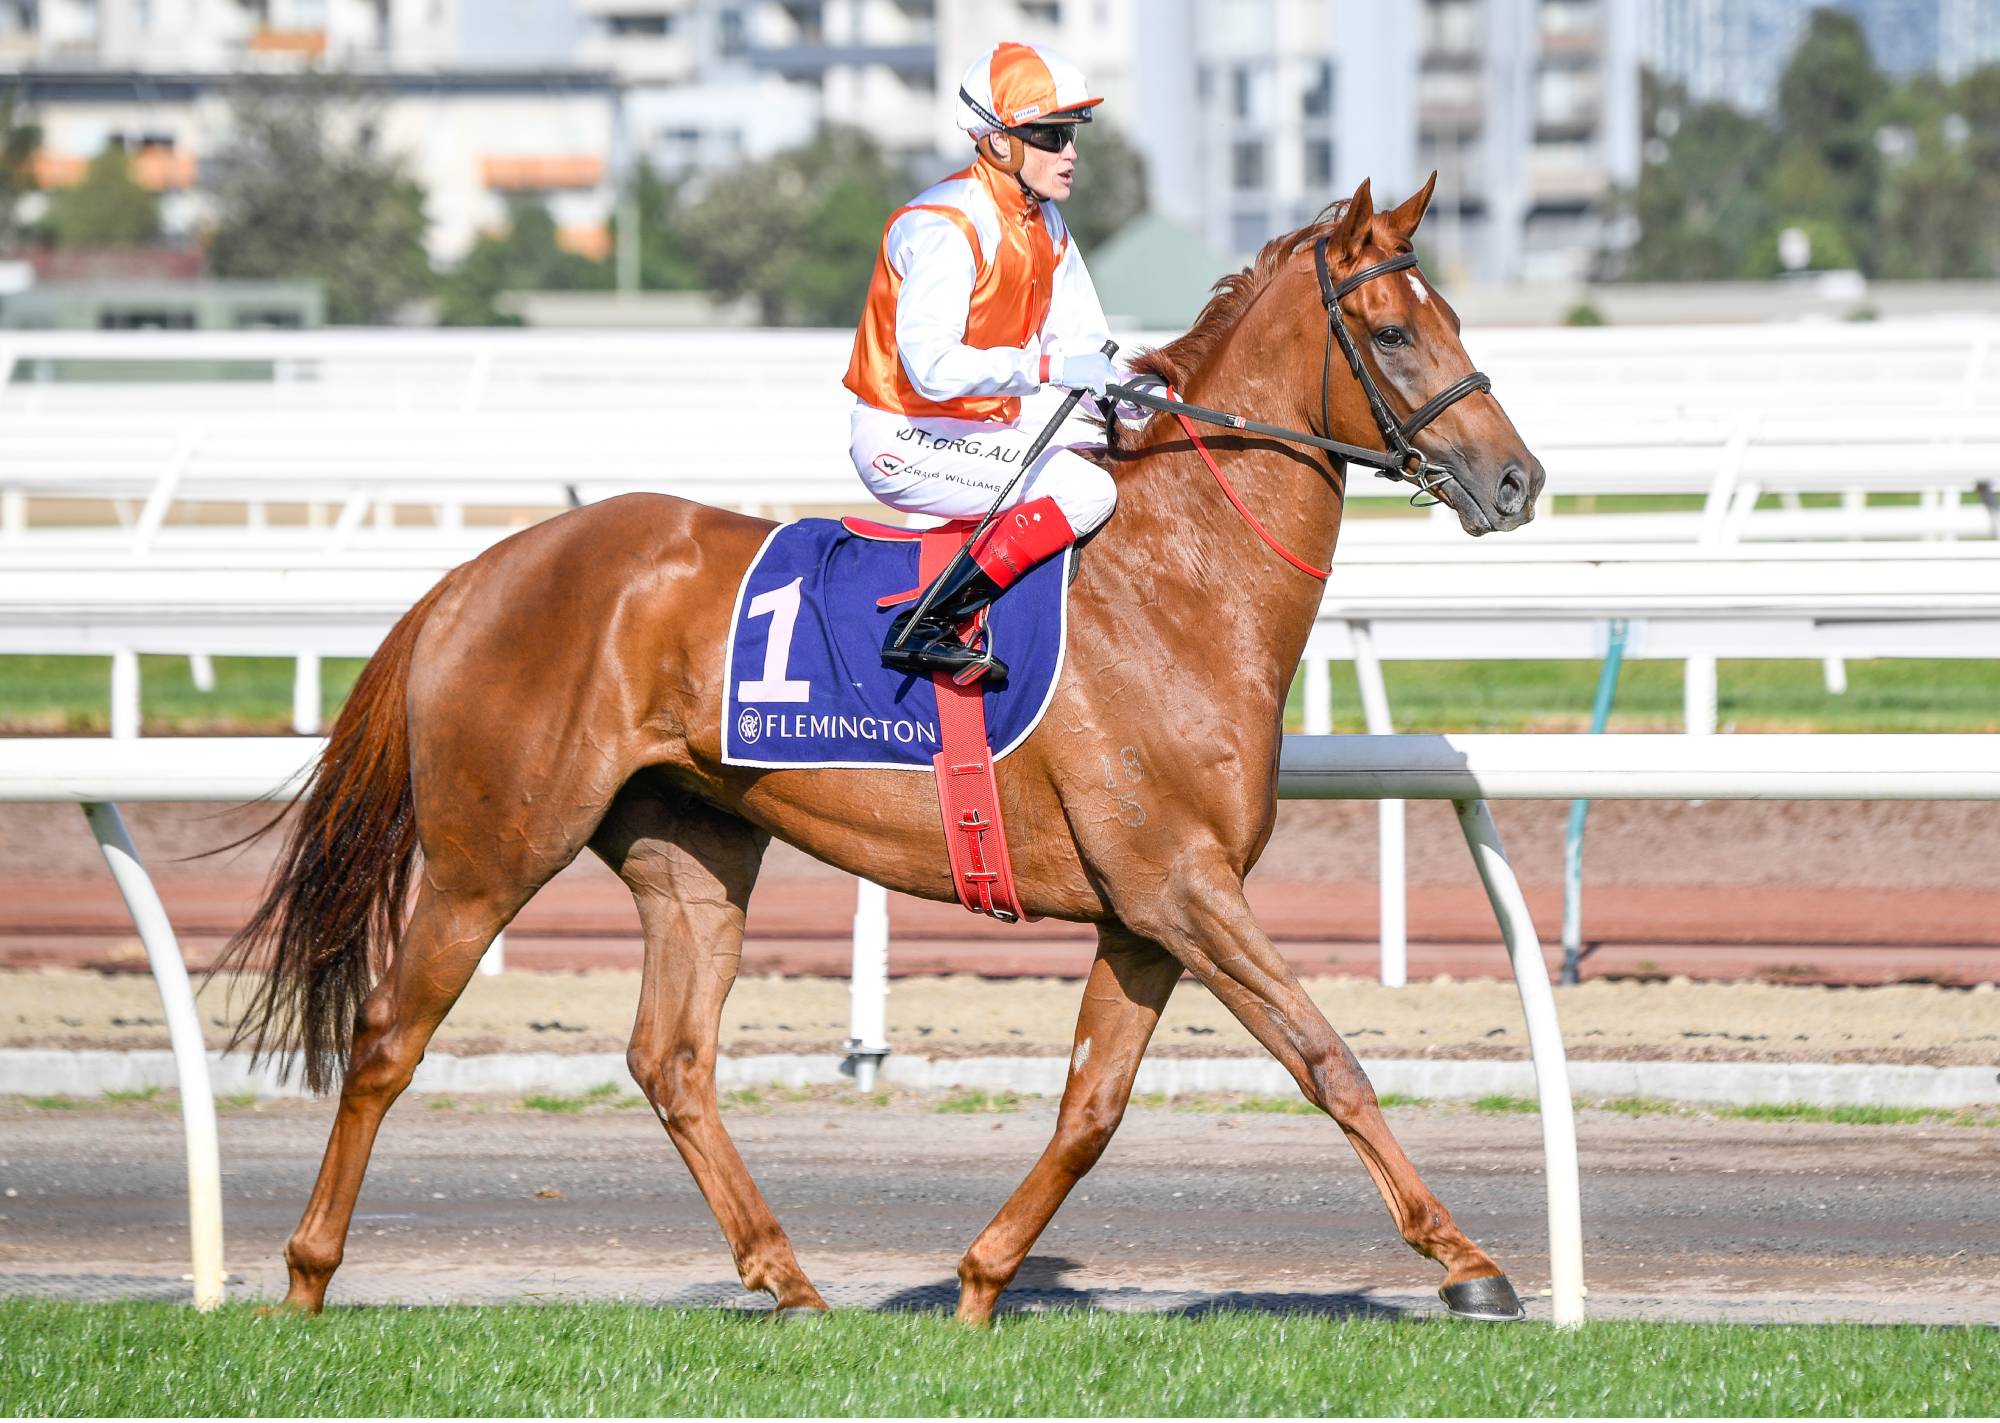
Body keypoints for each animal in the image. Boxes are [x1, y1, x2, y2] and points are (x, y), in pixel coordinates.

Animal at [219, 174, 1546, 1323]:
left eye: (1450, 317)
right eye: (1389, 332)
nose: (1516, 479)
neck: (1179, 586)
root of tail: (474, 574)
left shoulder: (1148, 910)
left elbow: (1090, 1105)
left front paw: (979, 1280)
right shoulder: (1180, 887)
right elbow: (1326, 1056)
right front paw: (1467, 1264)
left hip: (692, 853)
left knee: (672, 1057)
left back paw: (789, 1280)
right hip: (491, 849)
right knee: (388, 1036)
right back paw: (306, 1275)